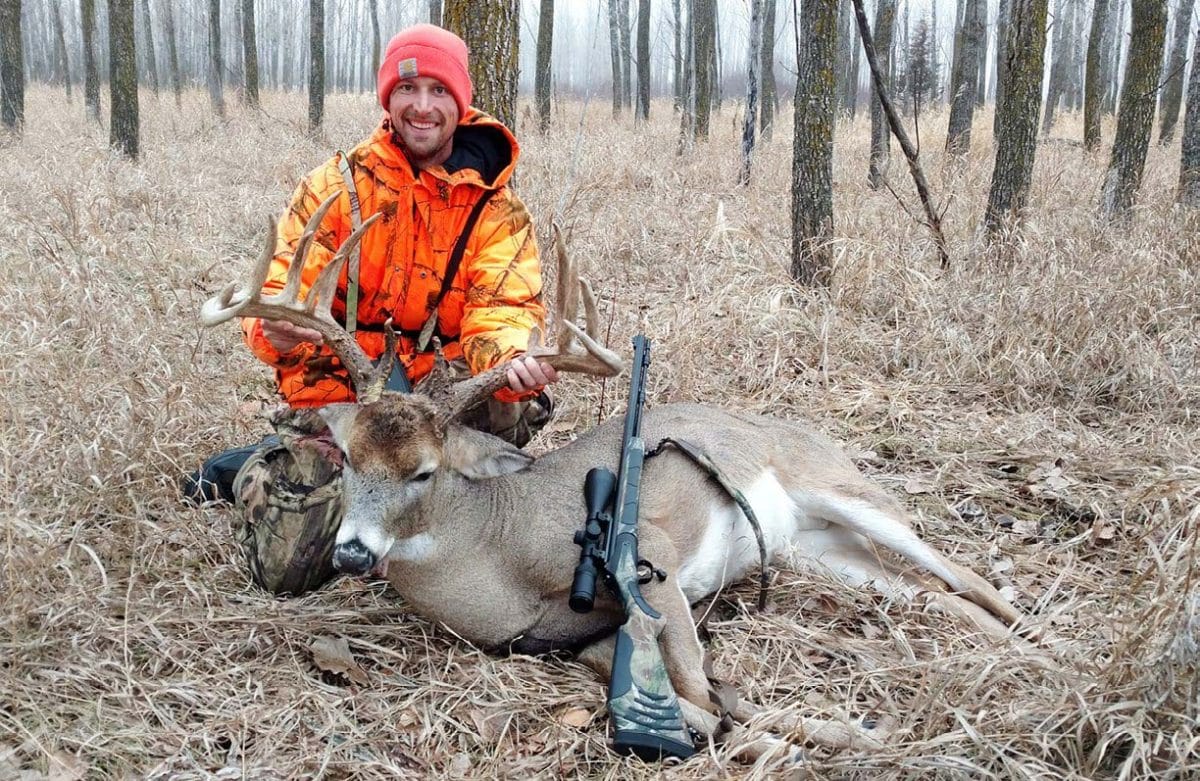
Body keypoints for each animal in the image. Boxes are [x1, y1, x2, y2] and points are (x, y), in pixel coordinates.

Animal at [201, 194, 1035, 759]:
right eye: (348, 456)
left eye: (425, 471)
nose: (351, 551)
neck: (495, 557)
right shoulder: (583, 642)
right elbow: (706, 700)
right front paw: (839, 727)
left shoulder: (654, 557)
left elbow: (700, 692)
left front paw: (823, 733)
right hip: (816, 548)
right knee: (930, 591)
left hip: (840, 486)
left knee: (961, 570)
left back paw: (1041, 642)